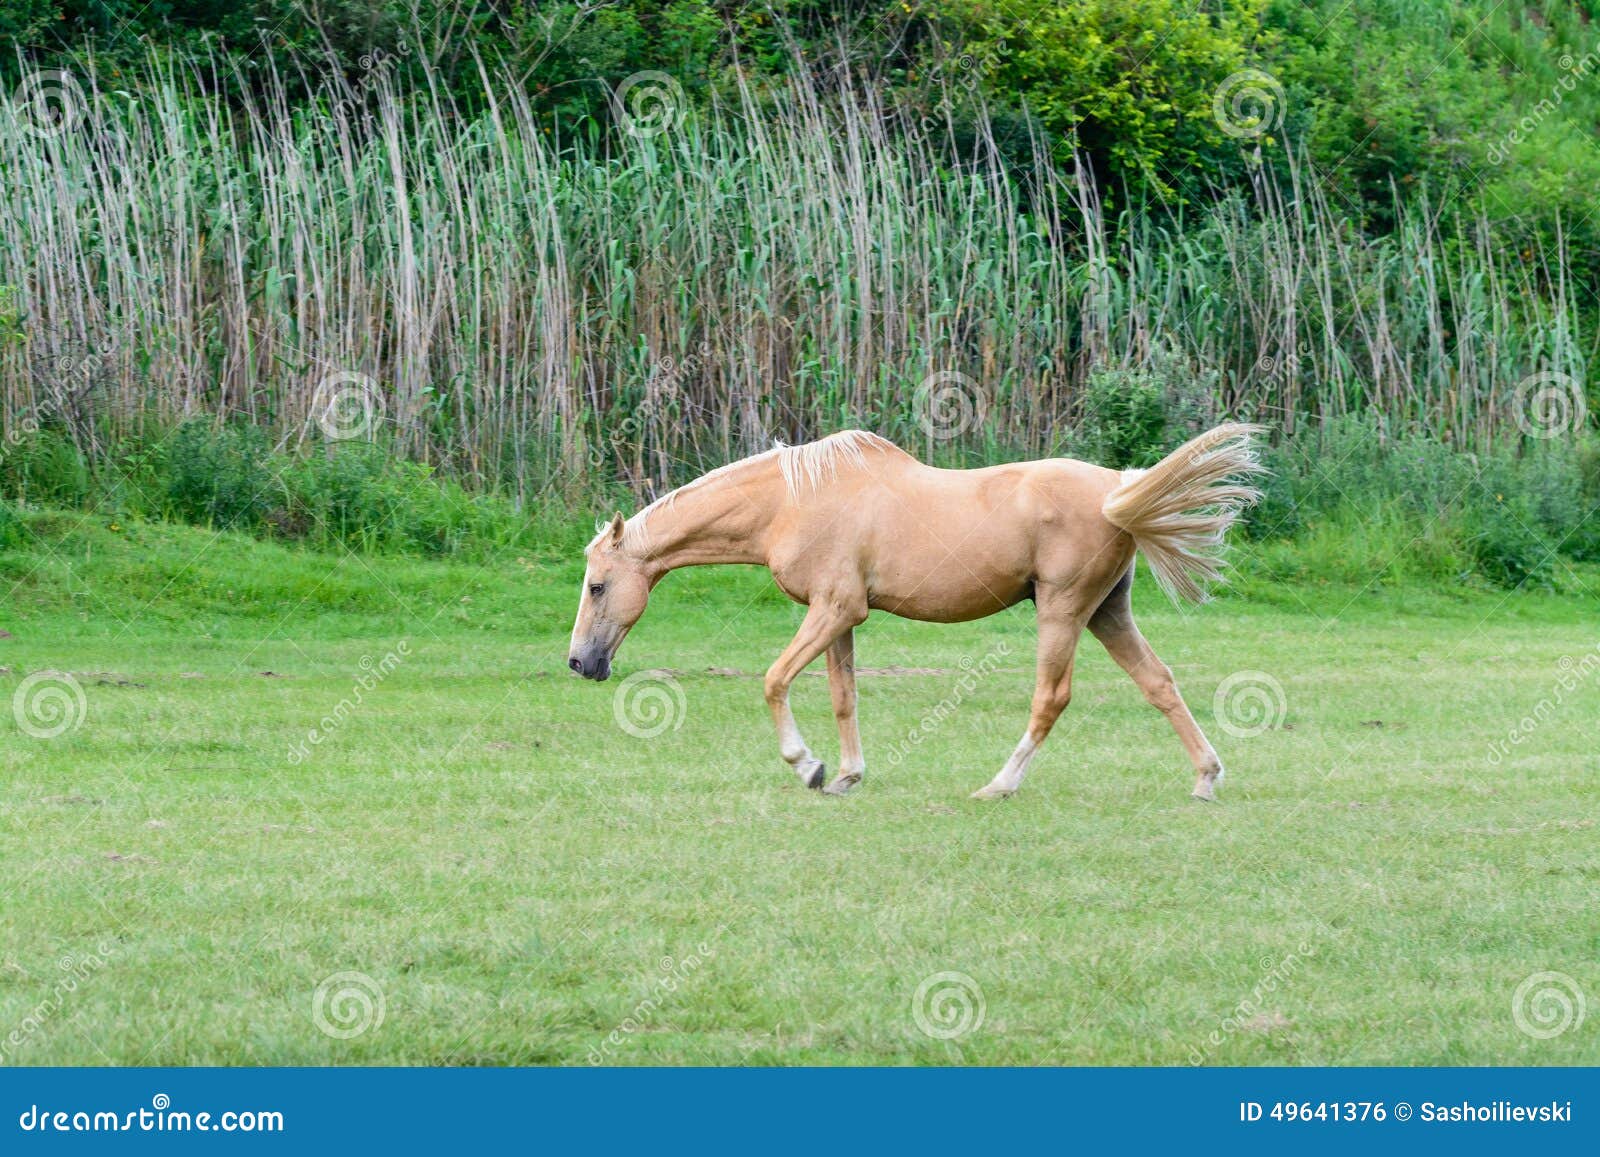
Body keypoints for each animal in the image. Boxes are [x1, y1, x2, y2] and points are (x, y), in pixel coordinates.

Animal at [567, 423, 1264, 801]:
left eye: (598, 585)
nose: (579, 663)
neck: (791, 501)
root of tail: (1118, 492)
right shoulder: (839, 616)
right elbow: (843, 697)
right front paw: (847, 776)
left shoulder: (834, 609)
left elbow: (774, 680)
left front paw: (808, 766)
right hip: (1106, 613)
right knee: (1159, 683)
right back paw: (1206, 778)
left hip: (1063, 611)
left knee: (1051, 698)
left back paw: (999, 785)